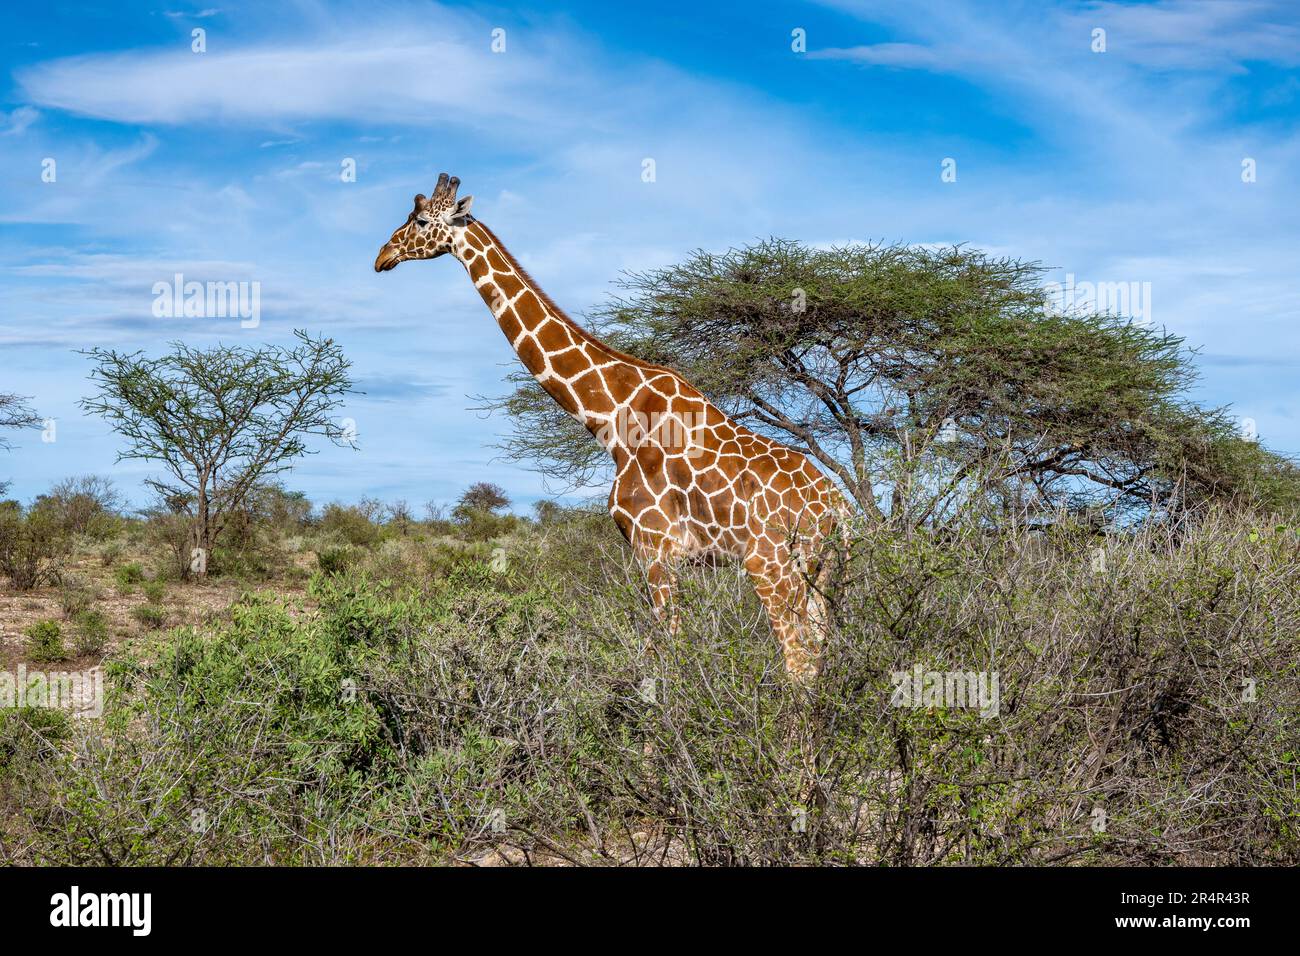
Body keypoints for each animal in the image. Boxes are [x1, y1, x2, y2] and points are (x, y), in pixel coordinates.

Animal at [375, 174, 849, 681]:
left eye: (420, 221)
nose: (382, 256)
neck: (613, 420)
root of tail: (839, 508)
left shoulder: (654, 546)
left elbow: (669, 654)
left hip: (772, 565)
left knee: (799, 662)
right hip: (823, 572)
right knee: (818, 656)